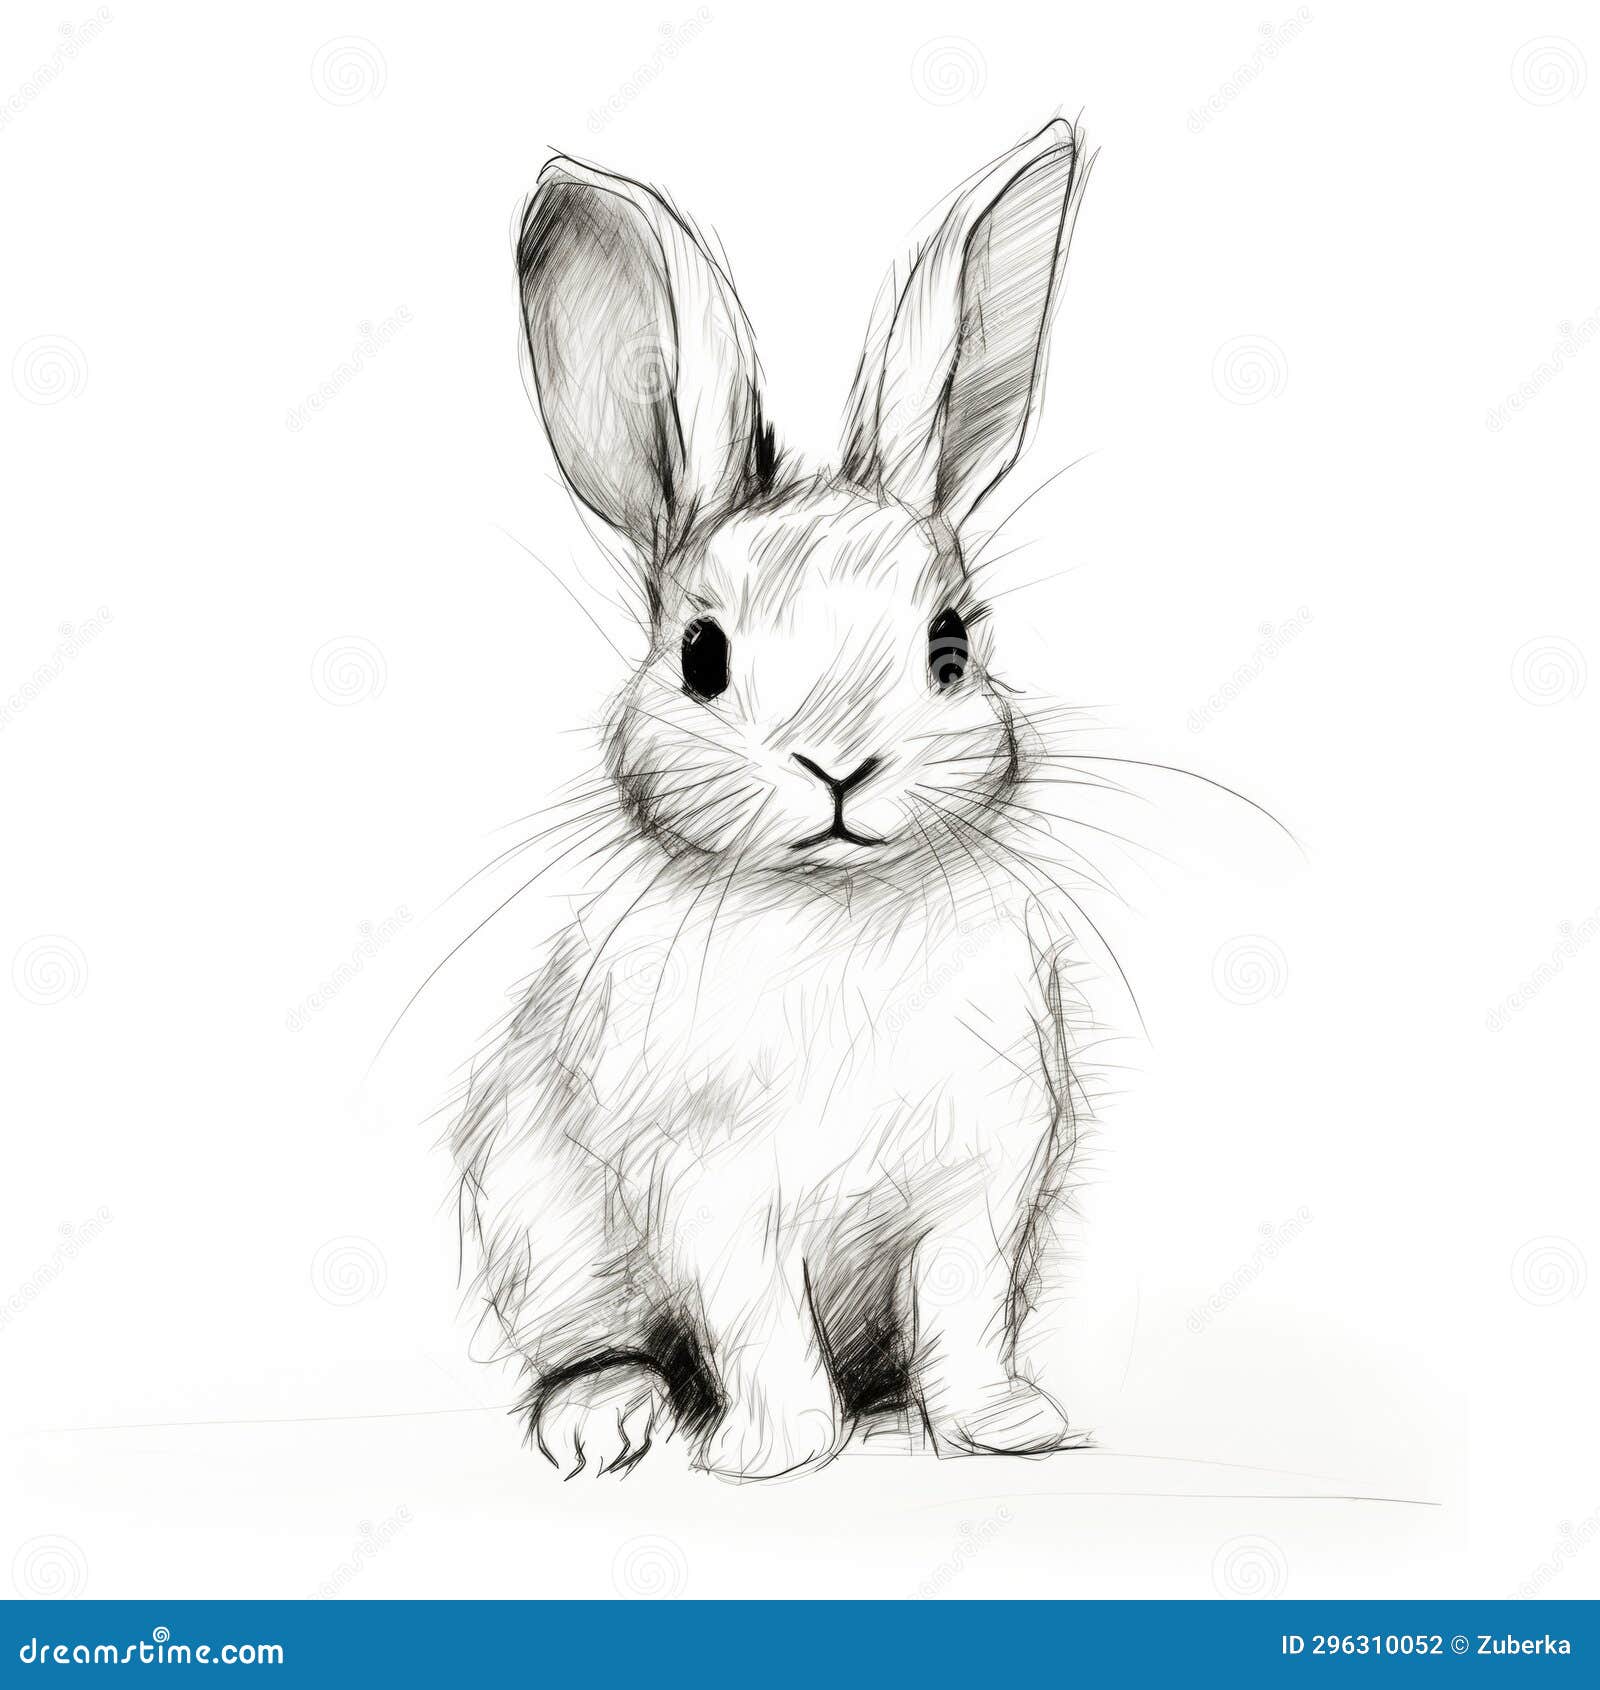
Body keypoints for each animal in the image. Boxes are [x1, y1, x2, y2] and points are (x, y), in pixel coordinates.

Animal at [453, 119, 1098, 1481]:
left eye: (950, 646)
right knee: (598, 1342)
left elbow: (965, 1312)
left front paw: (1003, 1428)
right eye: (702, 655)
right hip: (543, 1232)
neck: (834, 908)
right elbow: (755, 1323)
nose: (839, 765)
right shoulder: (708, 1193)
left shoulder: (979, 1178)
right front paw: (776, 1452)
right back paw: (602, 1417)